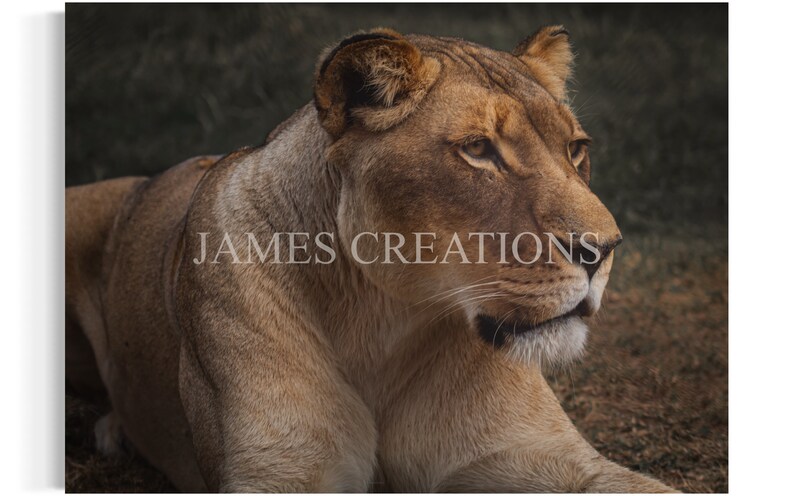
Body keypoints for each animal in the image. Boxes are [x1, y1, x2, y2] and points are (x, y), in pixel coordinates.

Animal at [65, 27, 676, 492]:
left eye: (576, 149)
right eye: (478, 150)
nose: (605, 249)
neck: (383, 321)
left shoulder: (543, 454)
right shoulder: (281, 466)